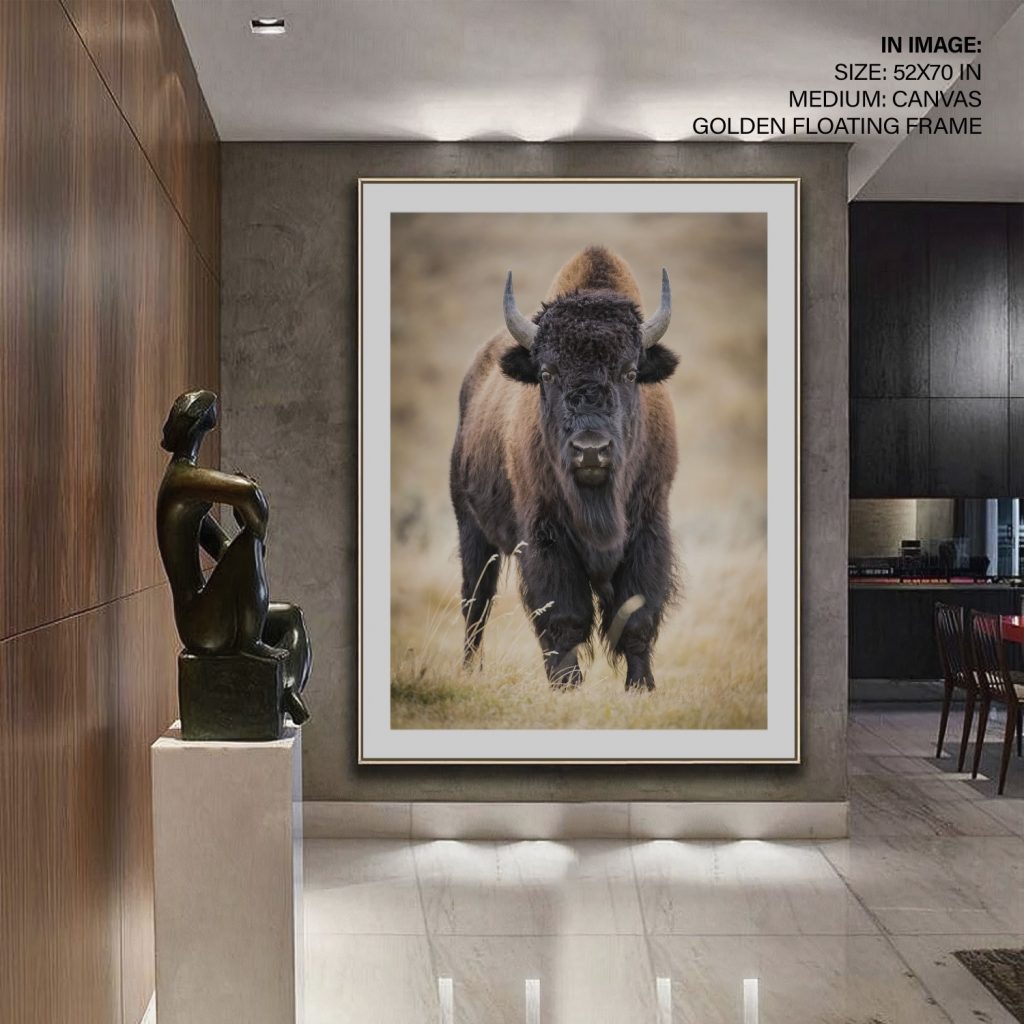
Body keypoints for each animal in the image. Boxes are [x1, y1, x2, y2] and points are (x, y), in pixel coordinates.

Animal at [449, 246, 679, 691]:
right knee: (475, 604)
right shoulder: (545, 535)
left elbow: (637, 615)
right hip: (472, 530)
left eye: (630, 372)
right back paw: (469, 671)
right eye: (547, 373)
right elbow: (563, 616)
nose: (591, 451)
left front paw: (641, 686)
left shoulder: (649, 527)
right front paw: (567, 685)